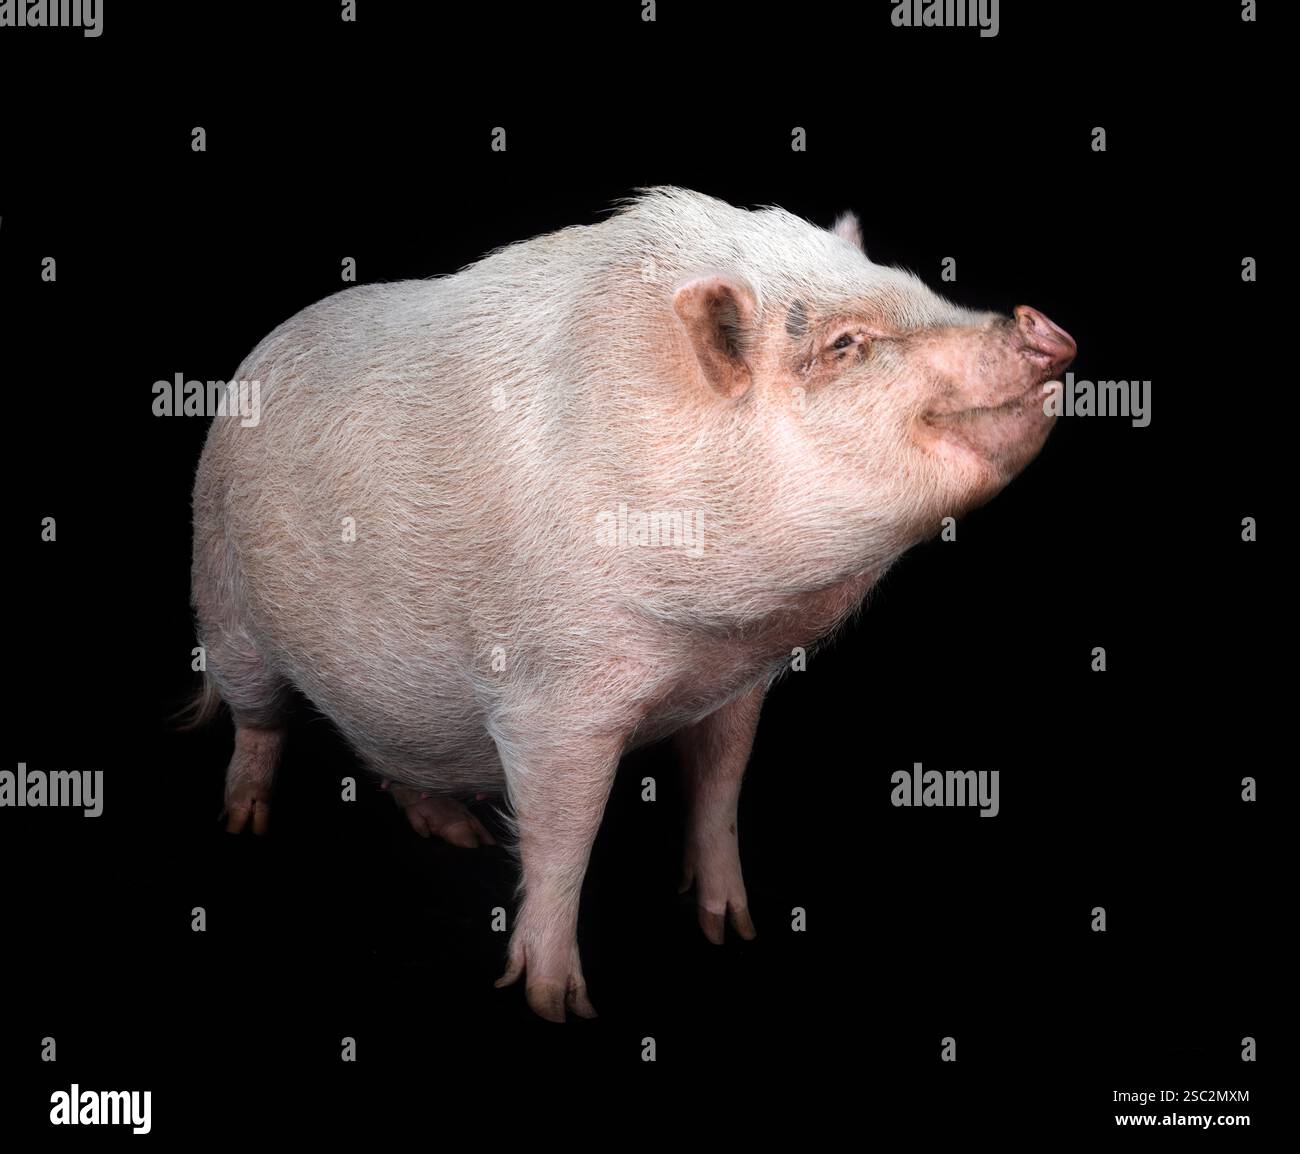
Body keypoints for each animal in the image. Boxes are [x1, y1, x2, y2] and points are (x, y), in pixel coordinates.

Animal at [187, 187, 1075, 1021]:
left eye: (919, 284)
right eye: (845, 344)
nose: (1041, 325)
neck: (714, 638)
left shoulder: (739, 684)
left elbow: (722, 784)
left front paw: (730, 929)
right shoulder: (553, 698)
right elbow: (562, 836)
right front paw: (557, 1003)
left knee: (382, 750)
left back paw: (455, 830)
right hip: (222, 592)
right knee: (258, 719)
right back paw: (245, 824)